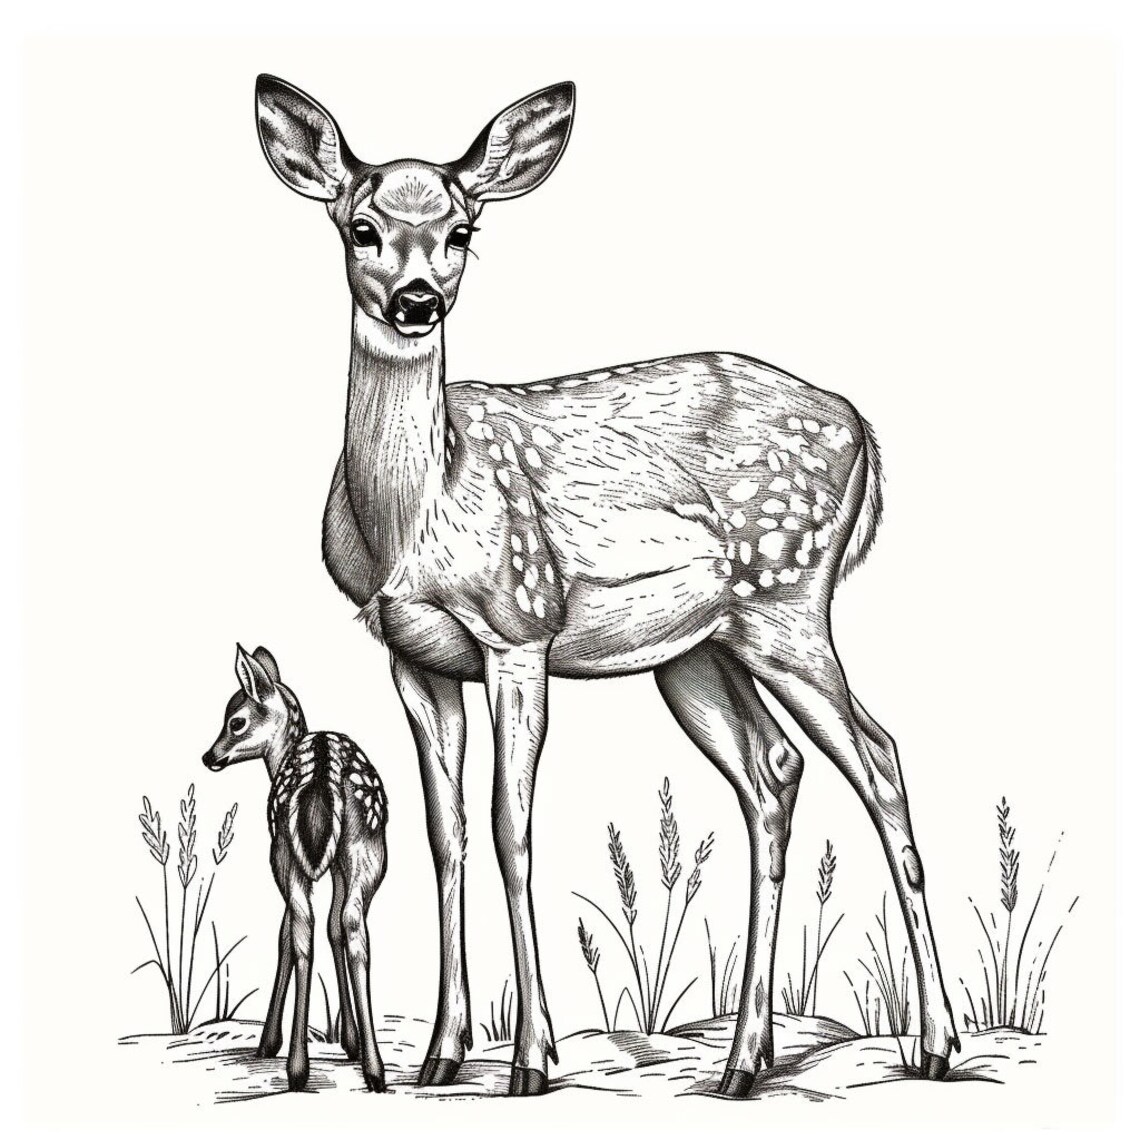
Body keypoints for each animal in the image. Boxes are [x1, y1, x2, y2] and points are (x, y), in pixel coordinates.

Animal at [202, 644, 389, 1093]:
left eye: (235, 720)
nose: (208, 756)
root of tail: (322, 771)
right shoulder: (335, 864)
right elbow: (335, 927)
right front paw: (352, 1042)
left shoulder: (300, 860)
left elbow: (289, 933)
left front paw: (271, 1042)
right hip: (364, 850)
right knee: (350, 926)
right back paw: (371, 1070)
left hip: (286, 853)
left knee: (302, 928)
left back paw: (297, 1067)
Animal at [252, 74, 960, 1098]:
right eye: (361, 228)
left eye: (463, 230)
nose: (418, 300)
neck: (413, 520)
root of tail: (863, 426)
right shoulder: (414, 658)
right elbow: (445, 833)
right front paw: (442, 1053)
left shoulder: (518, 629)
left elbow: (511, 826)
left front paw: (532, 1060)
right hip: (700, 650)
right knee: (775, 771)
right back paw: (745, 1060)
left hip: (788, 599)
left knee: (879, 757)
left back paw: (936, 1045)